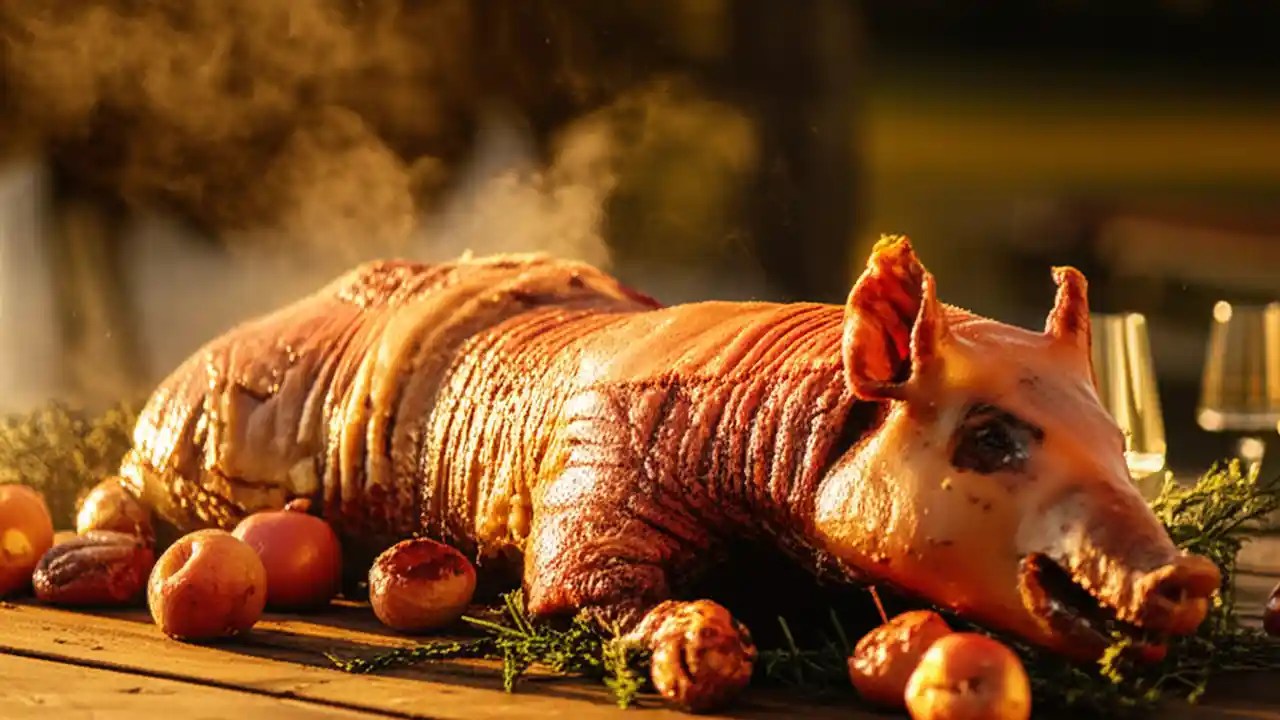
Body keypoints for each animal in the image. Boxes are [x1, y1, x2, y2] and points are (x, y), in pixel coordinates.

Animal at [116, 236, 1221, 712]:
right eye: (989, 439)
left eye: (1117, 437)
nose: (1187, 578)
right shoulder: (593, 475)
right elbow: (576, 593)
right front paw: (705, 647)